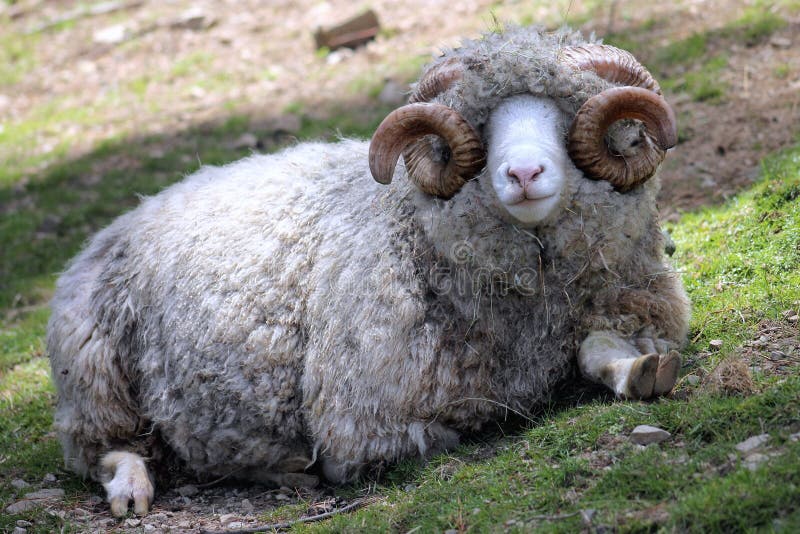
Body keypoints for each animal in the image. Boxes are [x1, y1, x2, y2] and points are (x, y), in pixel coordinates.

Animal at [47, 26, 689, 517]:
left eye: (565, 115)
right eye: (481, 127)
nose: (524, 174)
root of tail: (123, 218)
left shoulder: (624, 304)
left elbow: (603, 349)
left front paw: (640, 371)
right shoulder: (362, 422)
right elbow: (435, 434)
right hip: (94, 373)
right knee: (109, 448)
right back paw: (143, 488)